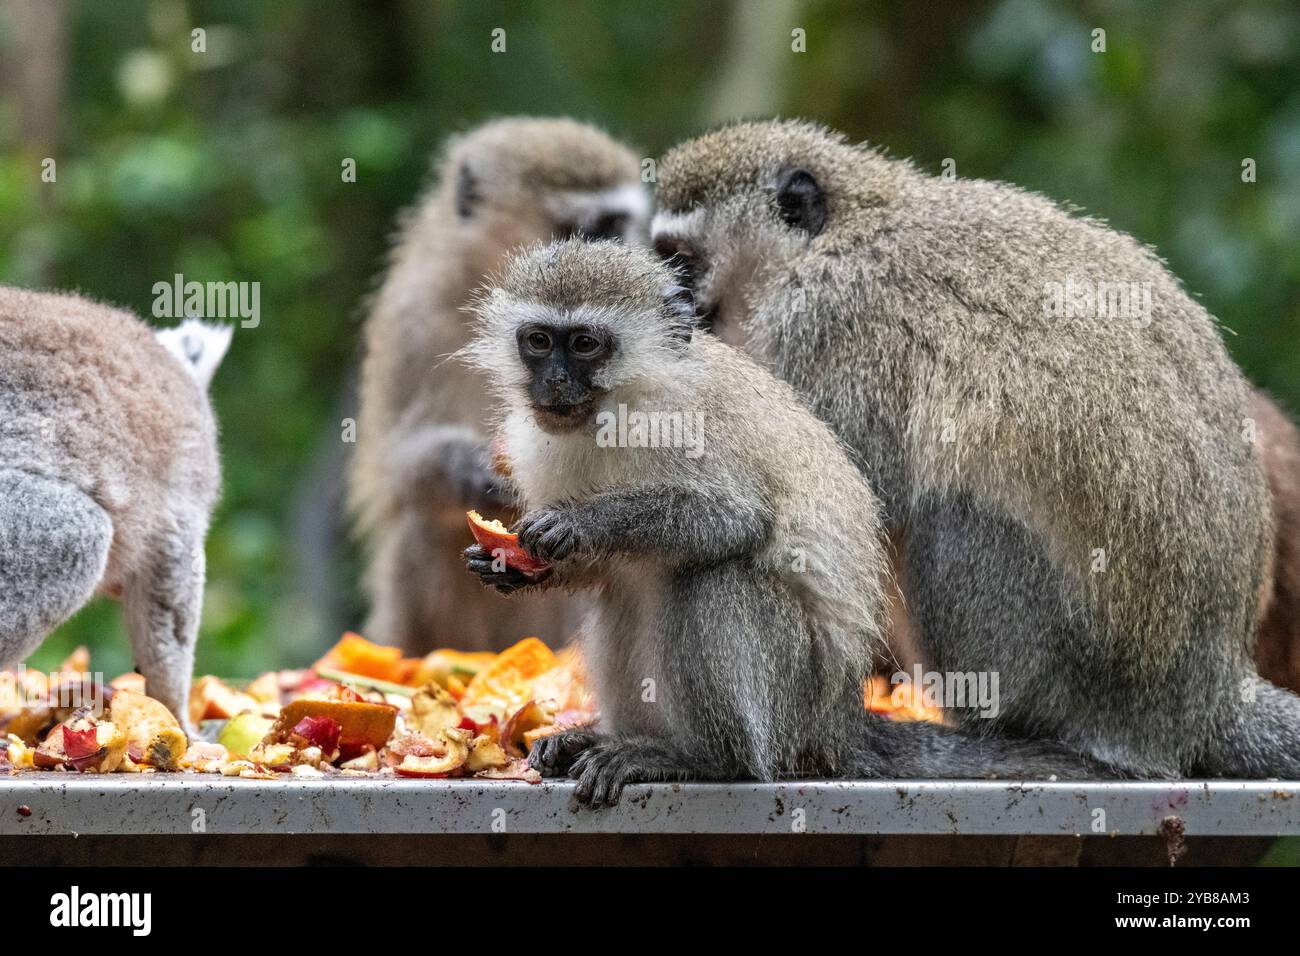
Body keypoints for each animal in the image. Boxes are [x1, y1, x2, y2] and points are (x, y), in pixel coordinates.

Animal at [350, 117, 650, 655]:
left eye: (617, 228)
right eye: (582, 231)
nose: (617, 266)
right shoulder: (413, 316)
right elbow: (393, 470)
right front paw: (474, 468)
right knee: (424, 528)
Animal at [461, 239, 1107, 806]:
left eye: (585, 344)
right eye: (538, 342)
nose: (553, 381)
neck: (611, 410)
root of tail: (841, 724)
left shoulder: (681, 417)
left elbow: (733, 520)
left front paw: (583, 522)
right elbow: (597, 573)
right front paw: (507, 566)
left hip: (792, 701)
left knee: (711, 577)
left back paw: (700, 759)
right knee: (622, 592)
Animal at [649, 119, 1300, 779]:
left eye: (682, 261)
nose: (676, 310)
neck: (841, 233)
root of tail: (1204, 699)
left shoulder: (825, 319)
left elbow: (847, 504)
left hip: (1063, 671)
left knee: (951, 514)